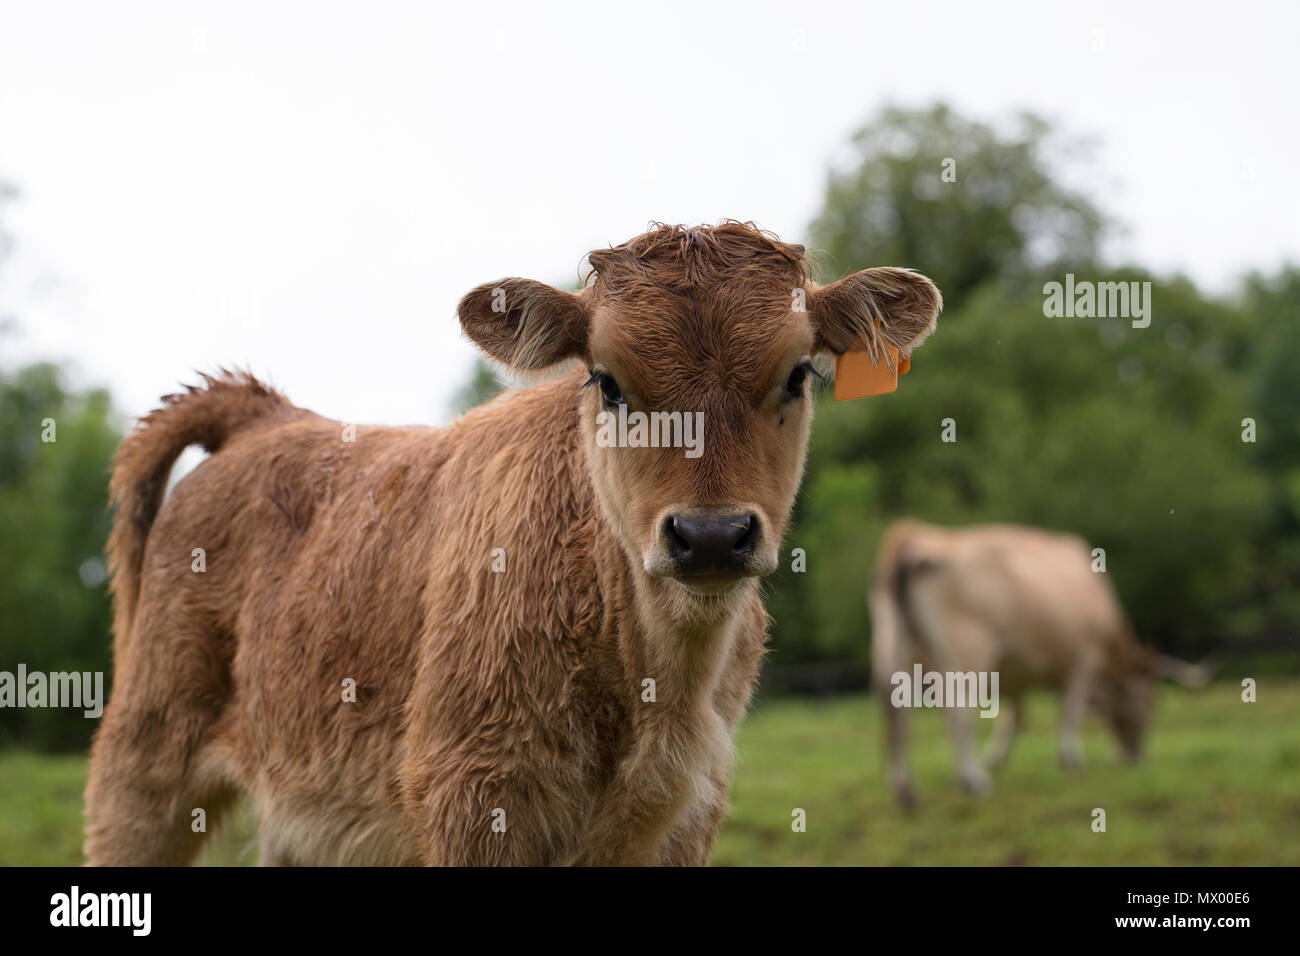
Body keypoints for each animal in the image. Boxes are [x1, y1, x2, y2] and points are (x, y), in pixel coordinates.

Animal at [84, 221, 942, 866]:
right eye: (607, 381)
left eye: (798, 374)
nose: (709, 536)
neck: (651, 675)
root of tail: (273, 414)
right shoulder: (473, 794)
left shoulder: (689, 809)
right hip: (141, 771)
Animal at [870, 520, 1209, 806]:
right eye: (1151, 702)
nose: (1137, 757)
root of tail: (916, 535)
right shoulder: (1083, 660)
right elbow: (1071, 710)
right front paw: (1070, 760)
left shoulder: (1012, 674)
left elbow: (1015, 717)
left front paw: (997, 757)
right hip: (966, 652)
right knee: (957, 711)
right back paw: (974, 780)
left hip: (893, 648)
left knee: (896, 712)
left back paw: (906, 791)